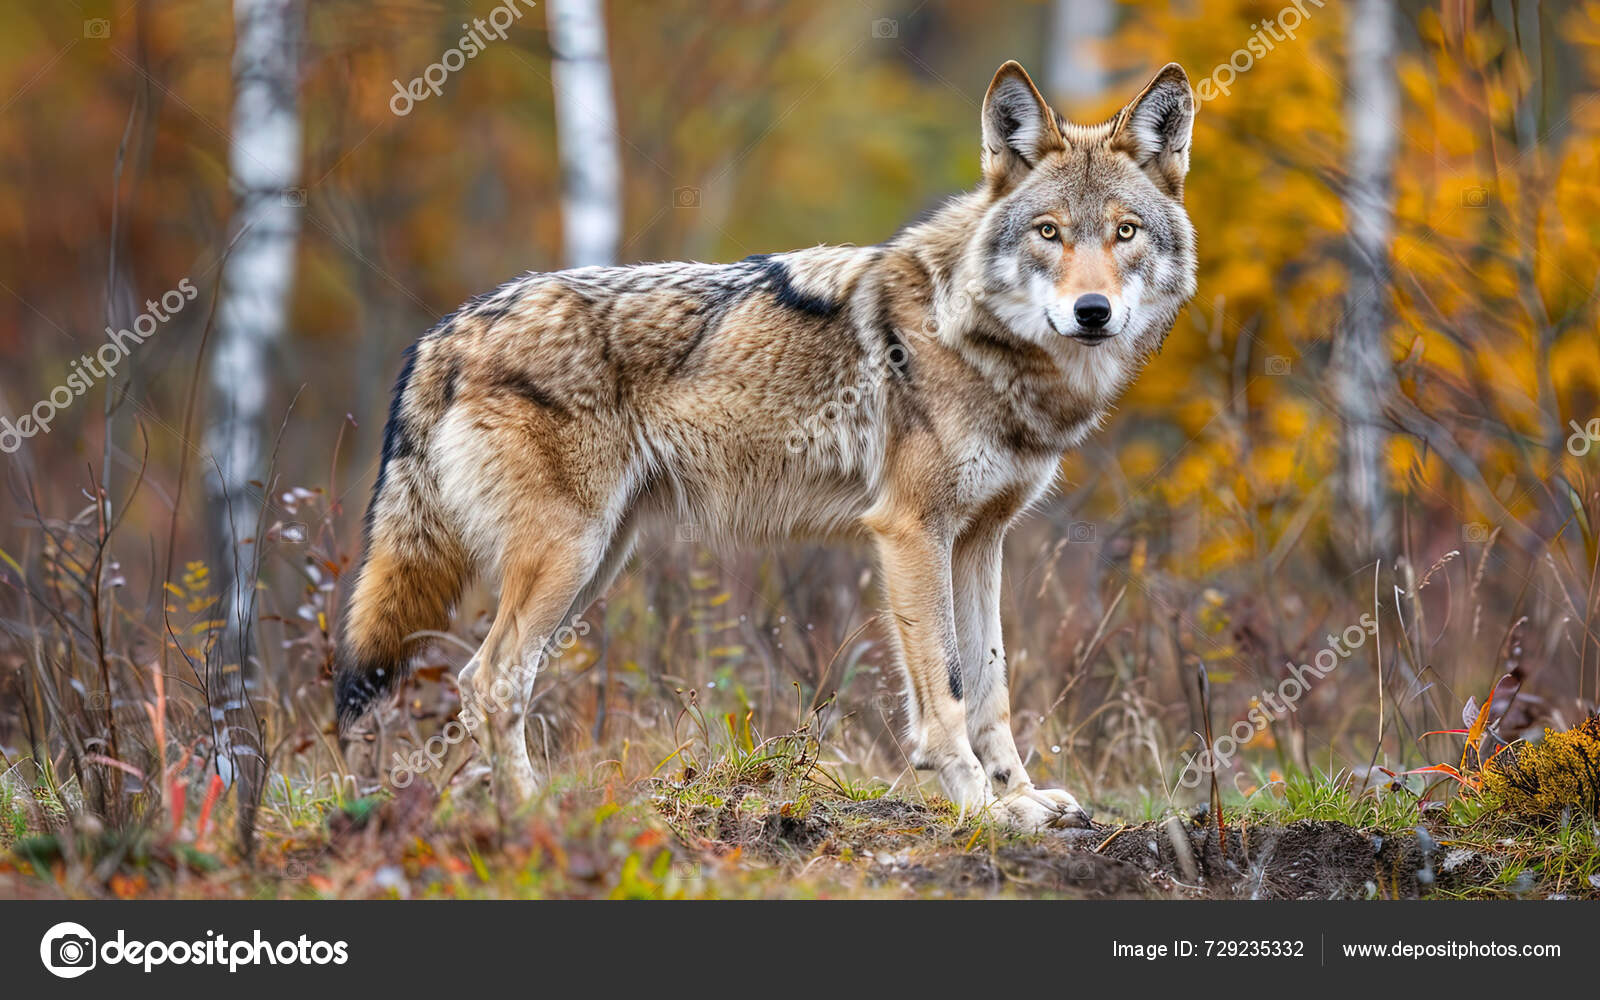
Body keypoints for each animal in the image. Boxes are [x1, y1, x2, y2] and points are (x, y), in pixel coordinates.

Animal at [335, 61, 1196, 830]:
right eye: (1050, 233)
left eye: (1124, 233)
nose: (1093, 312)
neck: (978, 339)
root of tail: (447, 329)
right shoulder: (911, 531)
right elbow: (948, 691)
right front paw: (980, 809)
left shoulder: (982, 539)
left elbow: (992, 688)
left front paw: (1021, 801)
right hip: (566, 558)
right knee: (490, 680)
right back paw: (532, 814)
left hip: (595, 562)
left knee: (484, 678)